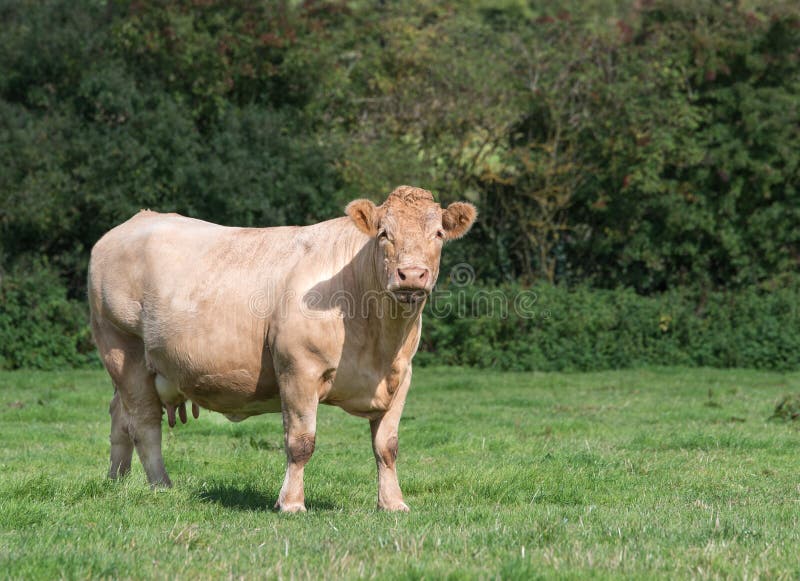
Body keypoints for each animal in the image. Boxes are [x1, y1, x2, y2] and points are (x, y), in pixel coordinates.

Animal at [88, 185, 476, 512]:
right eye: (384, 234)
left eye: (438, 234)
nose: (411, 275)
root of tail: (136, 220)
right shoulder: (298, 368)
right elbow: (301, 442)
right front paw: (291, 503)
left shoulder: (401, 375)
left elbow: (387, 446)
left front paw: (393, 503)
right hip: (122, 348)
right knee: (143, 423)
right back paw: (161, 485)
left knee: (120, 416)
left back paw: (117, 481)